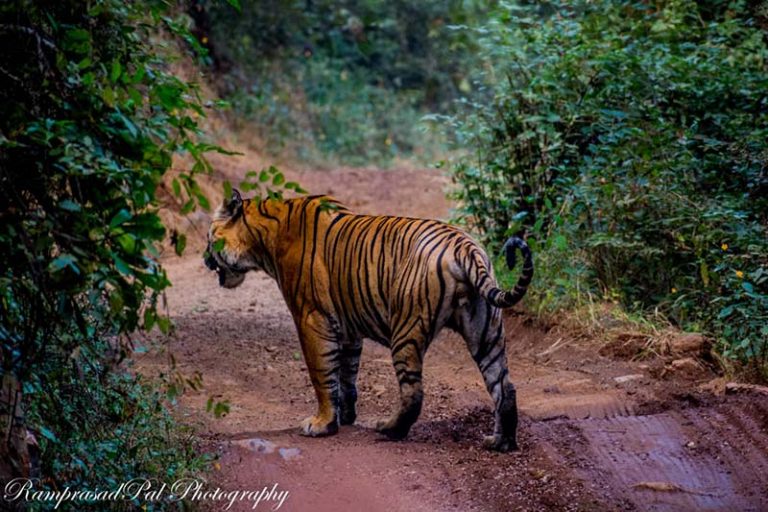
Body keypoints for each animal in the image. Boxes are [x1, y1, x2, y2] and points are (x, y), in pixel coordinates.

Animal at [204, 189, 533, 452]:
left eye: (208, 237)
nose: (205, 259)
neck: (262, 238)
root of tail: (464, 245)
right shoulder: (348, 328)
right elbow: (346, 375)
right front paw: (345, 416)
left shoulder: (311, 319)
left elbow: (321, 375)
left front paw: (322, 424)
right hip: (486, 331)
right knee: (505, 387)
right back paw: (500, 442)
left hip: (406, 329)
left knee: (413, 392)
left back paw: (389, 429)